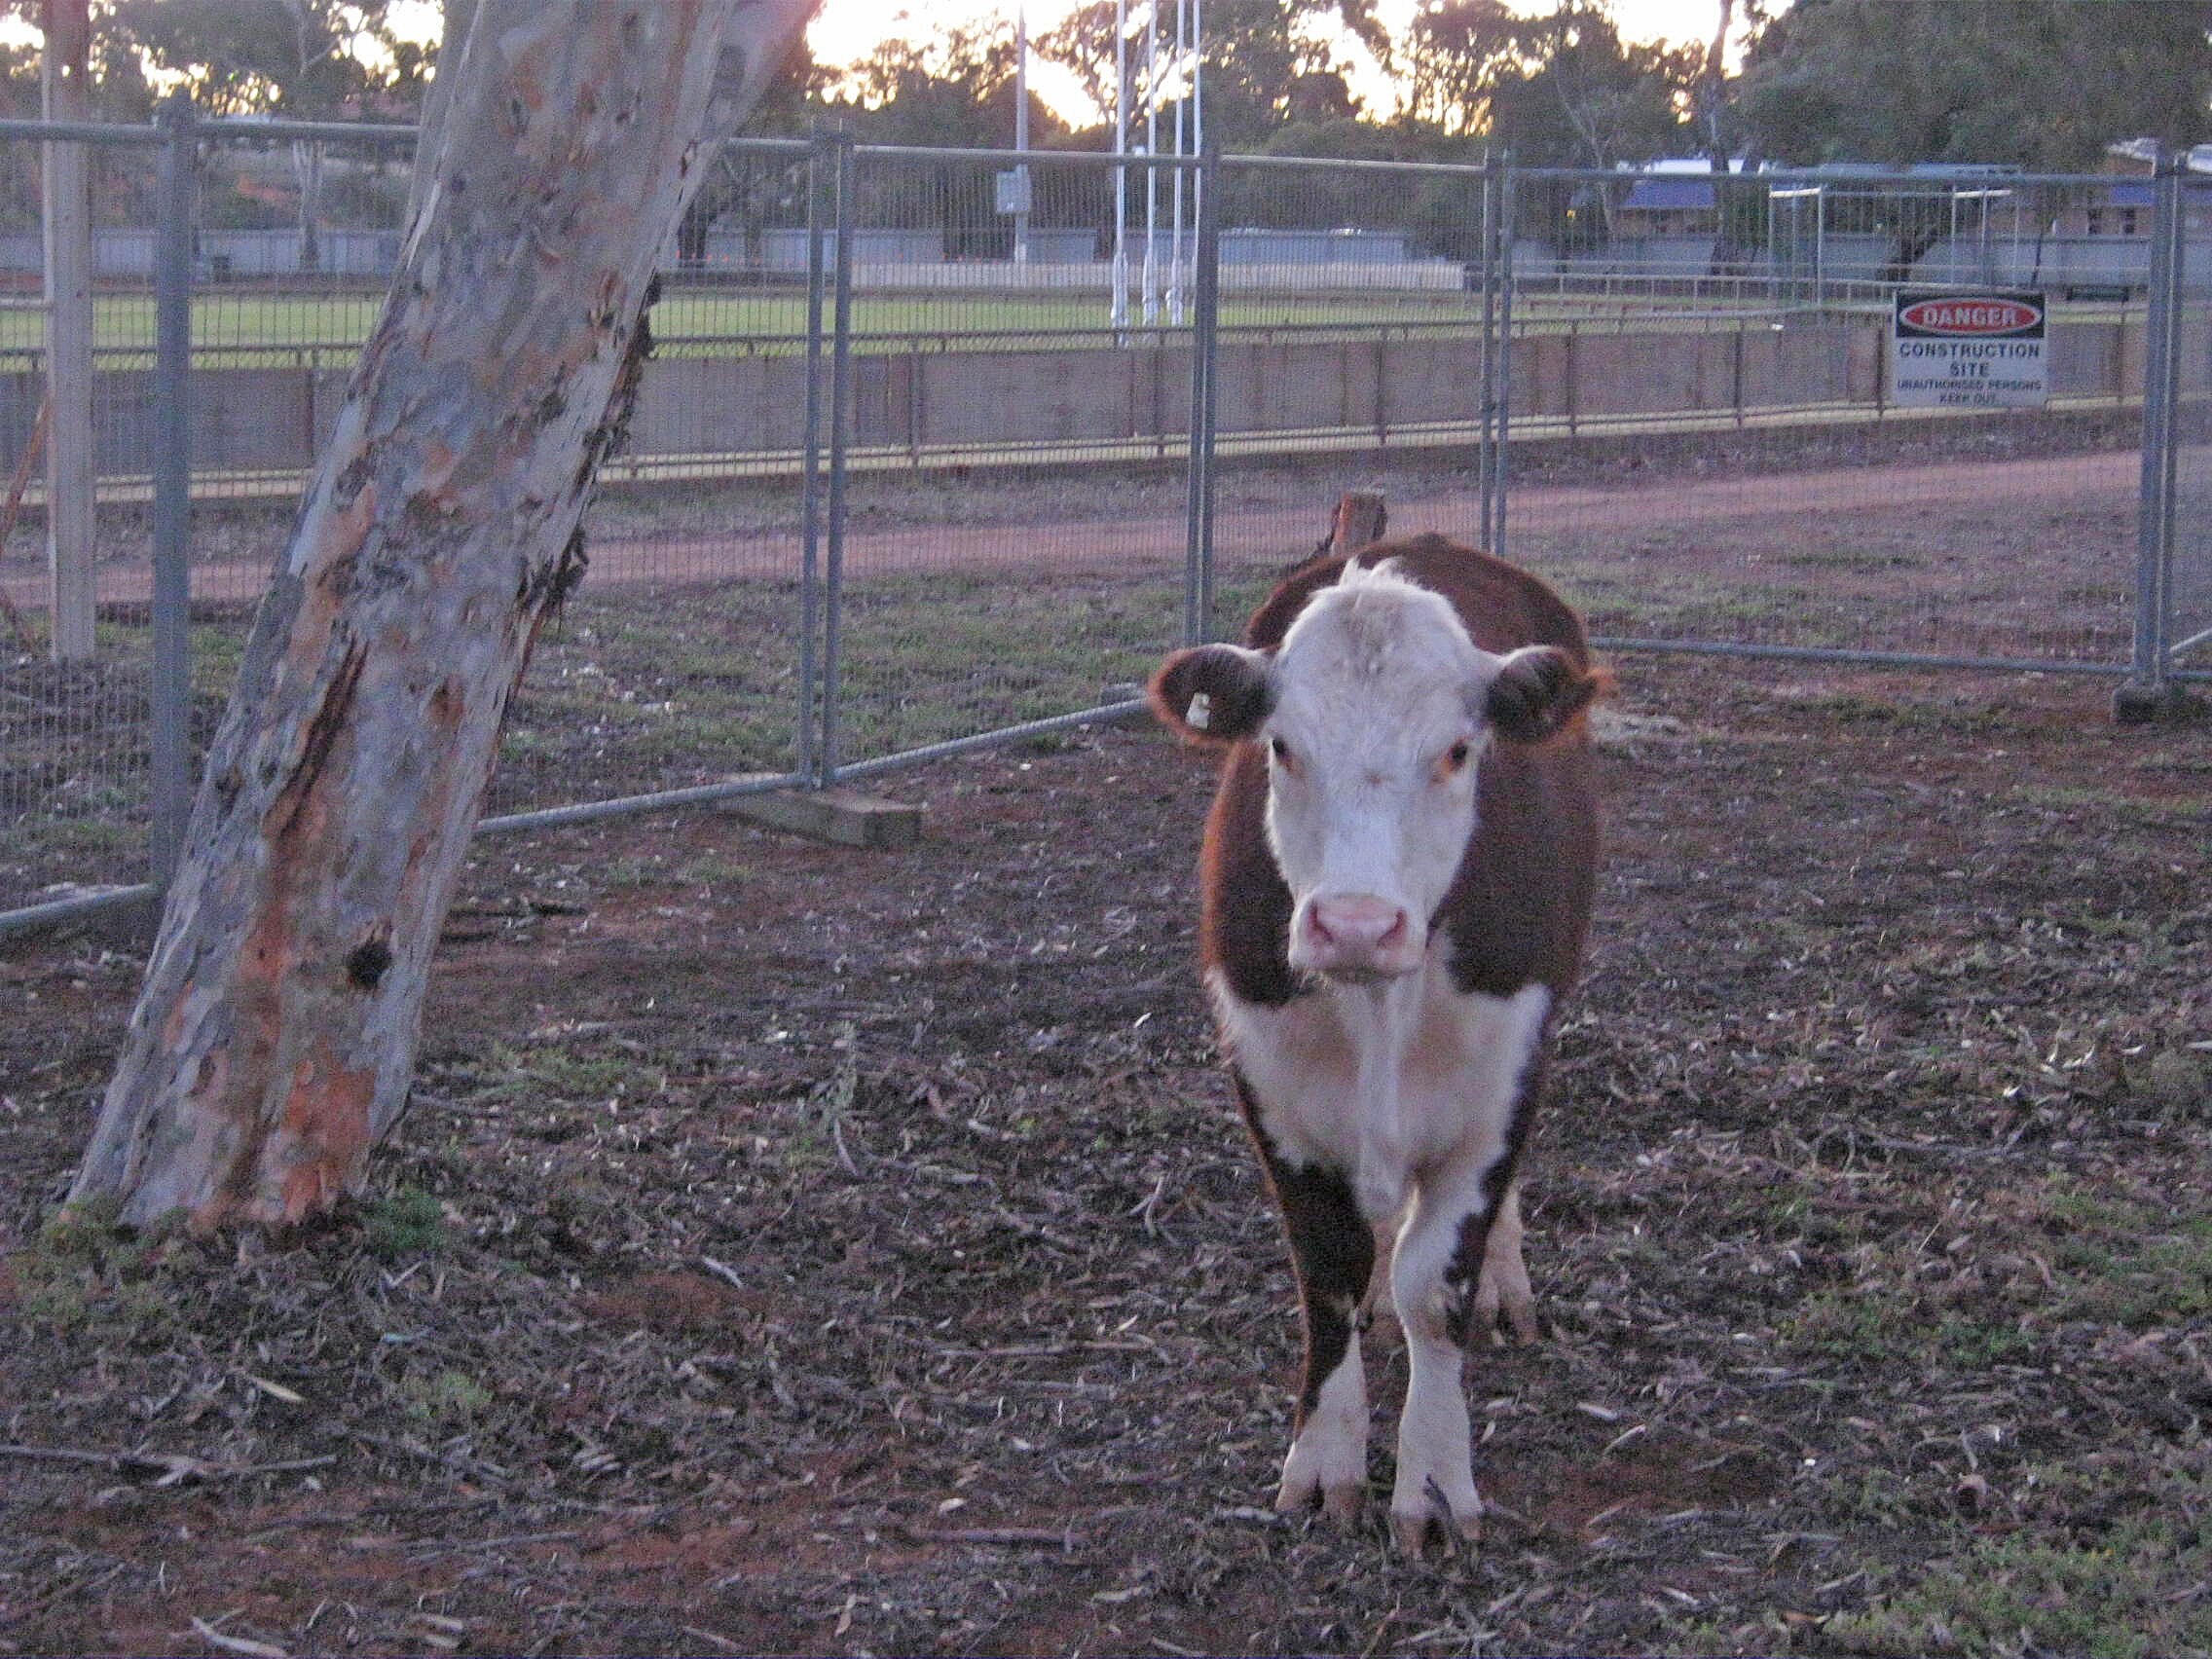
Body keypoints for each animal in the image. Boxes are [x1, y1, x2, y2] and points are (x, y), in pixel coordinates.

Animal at [1148, 532, 1603, 1553]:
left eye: (1459, 750)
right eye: (1281, 747)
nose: (1355, 925)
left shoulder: (1506, 1075)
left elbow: (1435, 1285)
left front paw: (1433, 1481)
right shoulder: (1268, 1083)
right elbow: (1330, 1274)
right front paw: (1325, 1465)